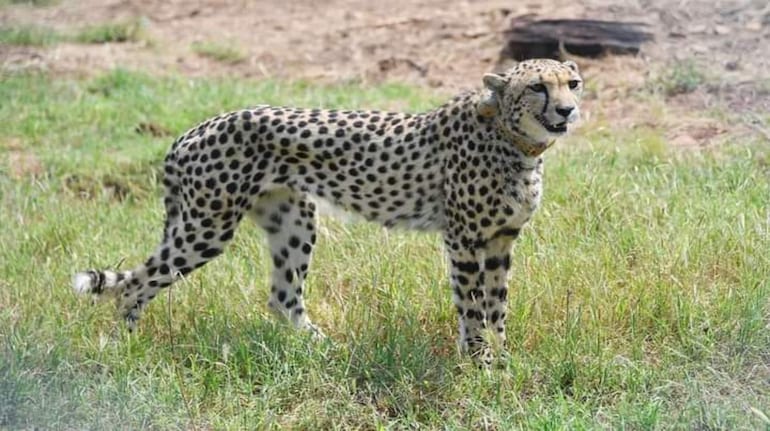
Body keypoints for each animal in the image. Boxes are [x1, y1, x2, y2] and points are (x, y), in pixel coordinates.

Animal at [72, 58, 583, 366]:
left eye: (573, 83)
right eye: (537, 86)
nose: (568, 109)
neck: (516, 141)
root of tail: (194, 129)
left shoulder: (500, 239)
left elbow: (498, 305)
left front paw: (503, 359)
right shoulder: (463, 239)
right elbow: (472, 305)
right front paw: (479, 362)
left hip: (293, 220)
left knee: (283, 297)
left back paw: (324, 350)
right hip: (207, 226)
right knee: (134, 284)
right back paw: (126, 346)